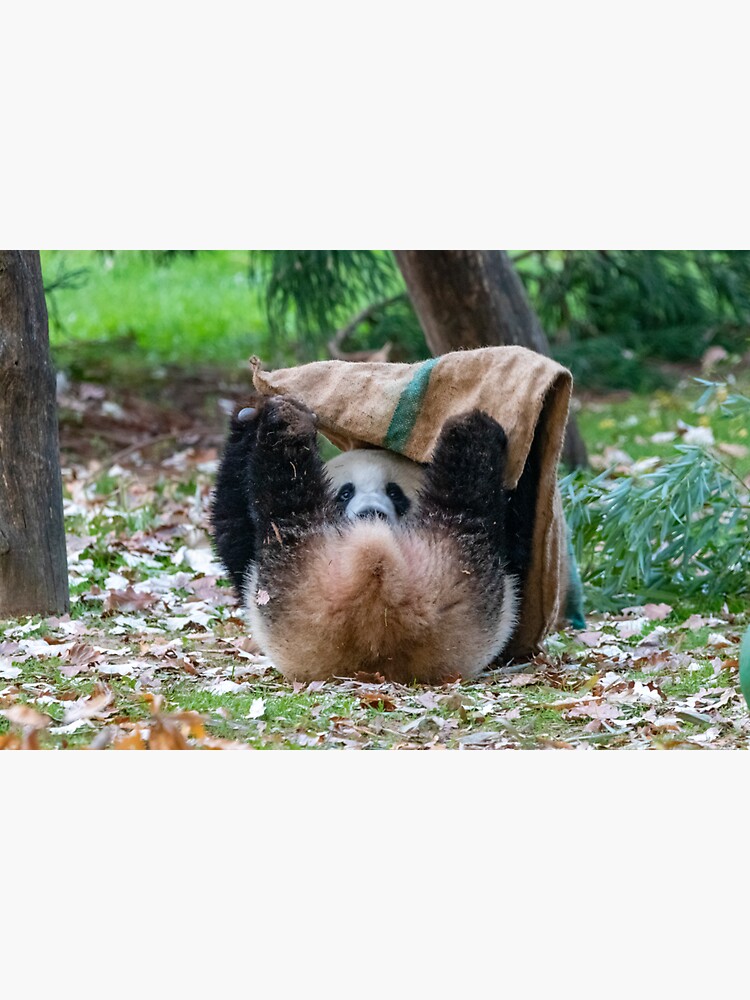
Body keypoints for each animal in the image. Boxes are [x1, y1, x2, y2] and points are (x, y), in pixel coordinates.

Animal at [211, 395, 519, 685]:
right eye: (345, 492)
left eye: (395, 492)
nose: (371, 512)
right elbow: (231, 529)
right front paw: (248, 417)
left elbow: (233, 533)